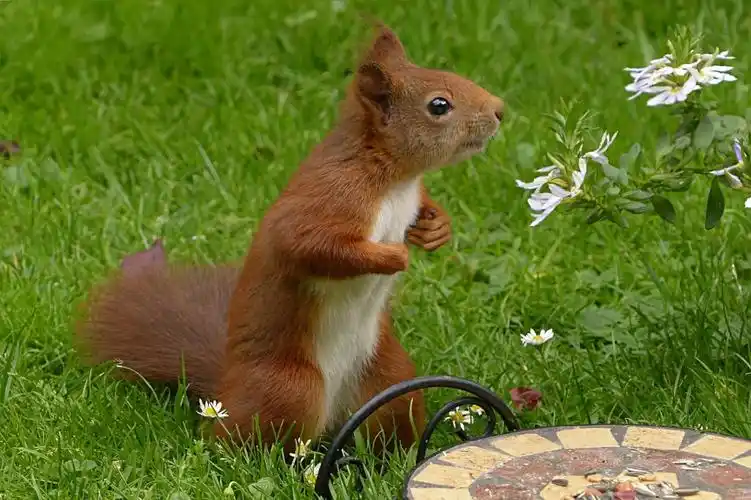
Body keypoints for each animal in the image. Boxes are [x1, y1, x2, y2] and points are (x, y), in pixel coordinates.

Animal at [74, 24, 504, 455]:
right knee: (240, 440)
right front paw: (393, 256)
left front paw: (435, 229)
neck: (395, 180)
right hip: (292, 389)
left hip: (390, 378)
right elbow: (308, 245)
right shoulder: (331, 197)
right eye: (439, 105)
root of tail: (225, 394)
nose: (499, 109)